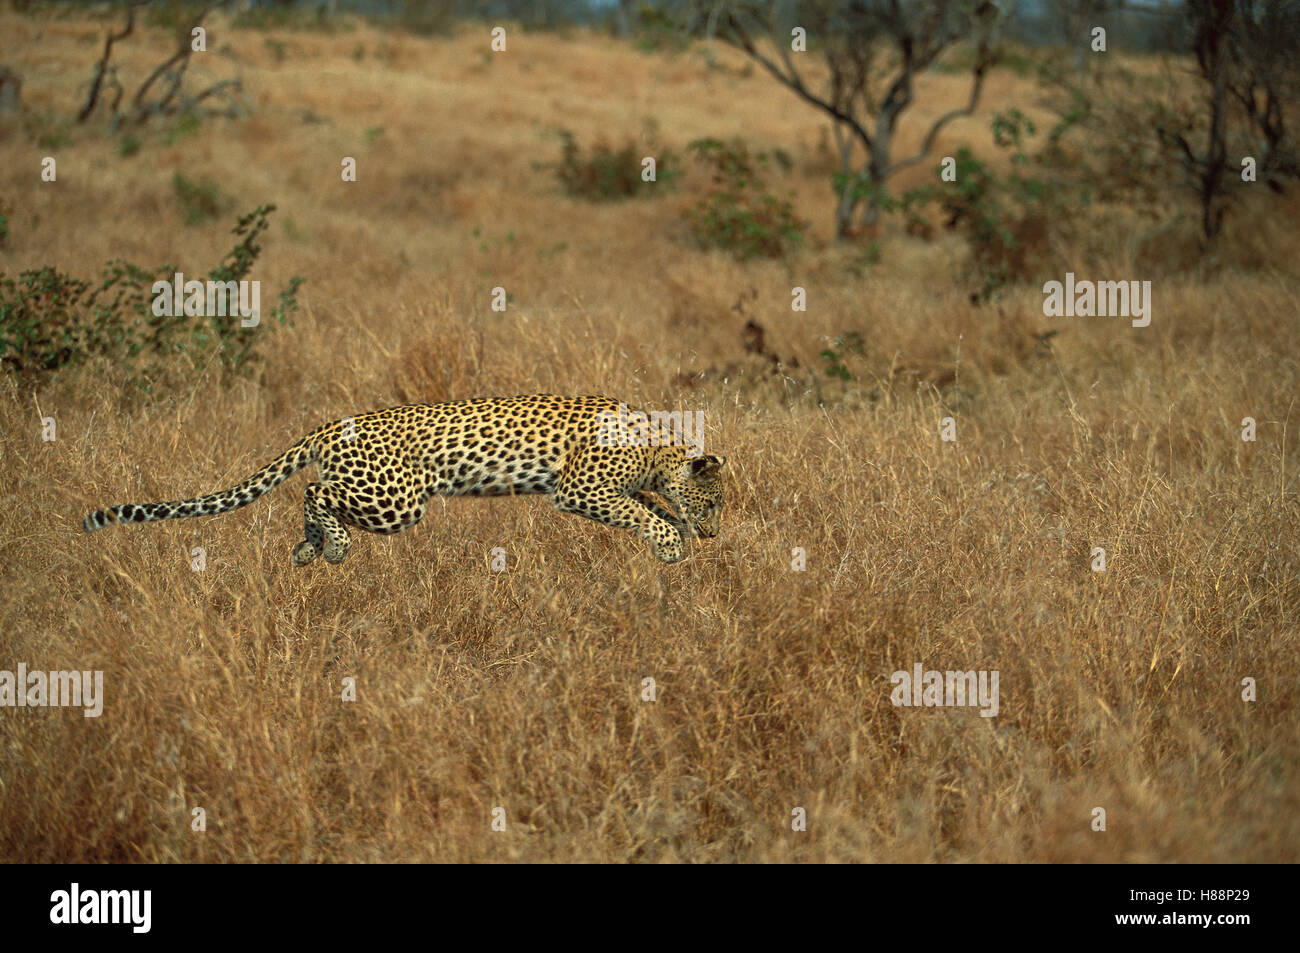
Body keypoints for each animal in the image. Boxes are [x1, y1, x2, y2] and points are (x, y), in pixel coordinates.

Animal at [82, 394, 726, 565]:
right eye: (716, 502)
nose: (717, 533)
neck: (660, 446)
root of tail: (335, 423)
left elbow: (652, 506)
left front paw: (677, 536)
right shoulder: (581, 490)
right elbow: (641, 512)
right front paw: (673, 544)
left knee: (311, 495)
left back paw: (307, 549)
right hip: (397, 499)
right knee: (314, 490)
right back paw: (333, 547)